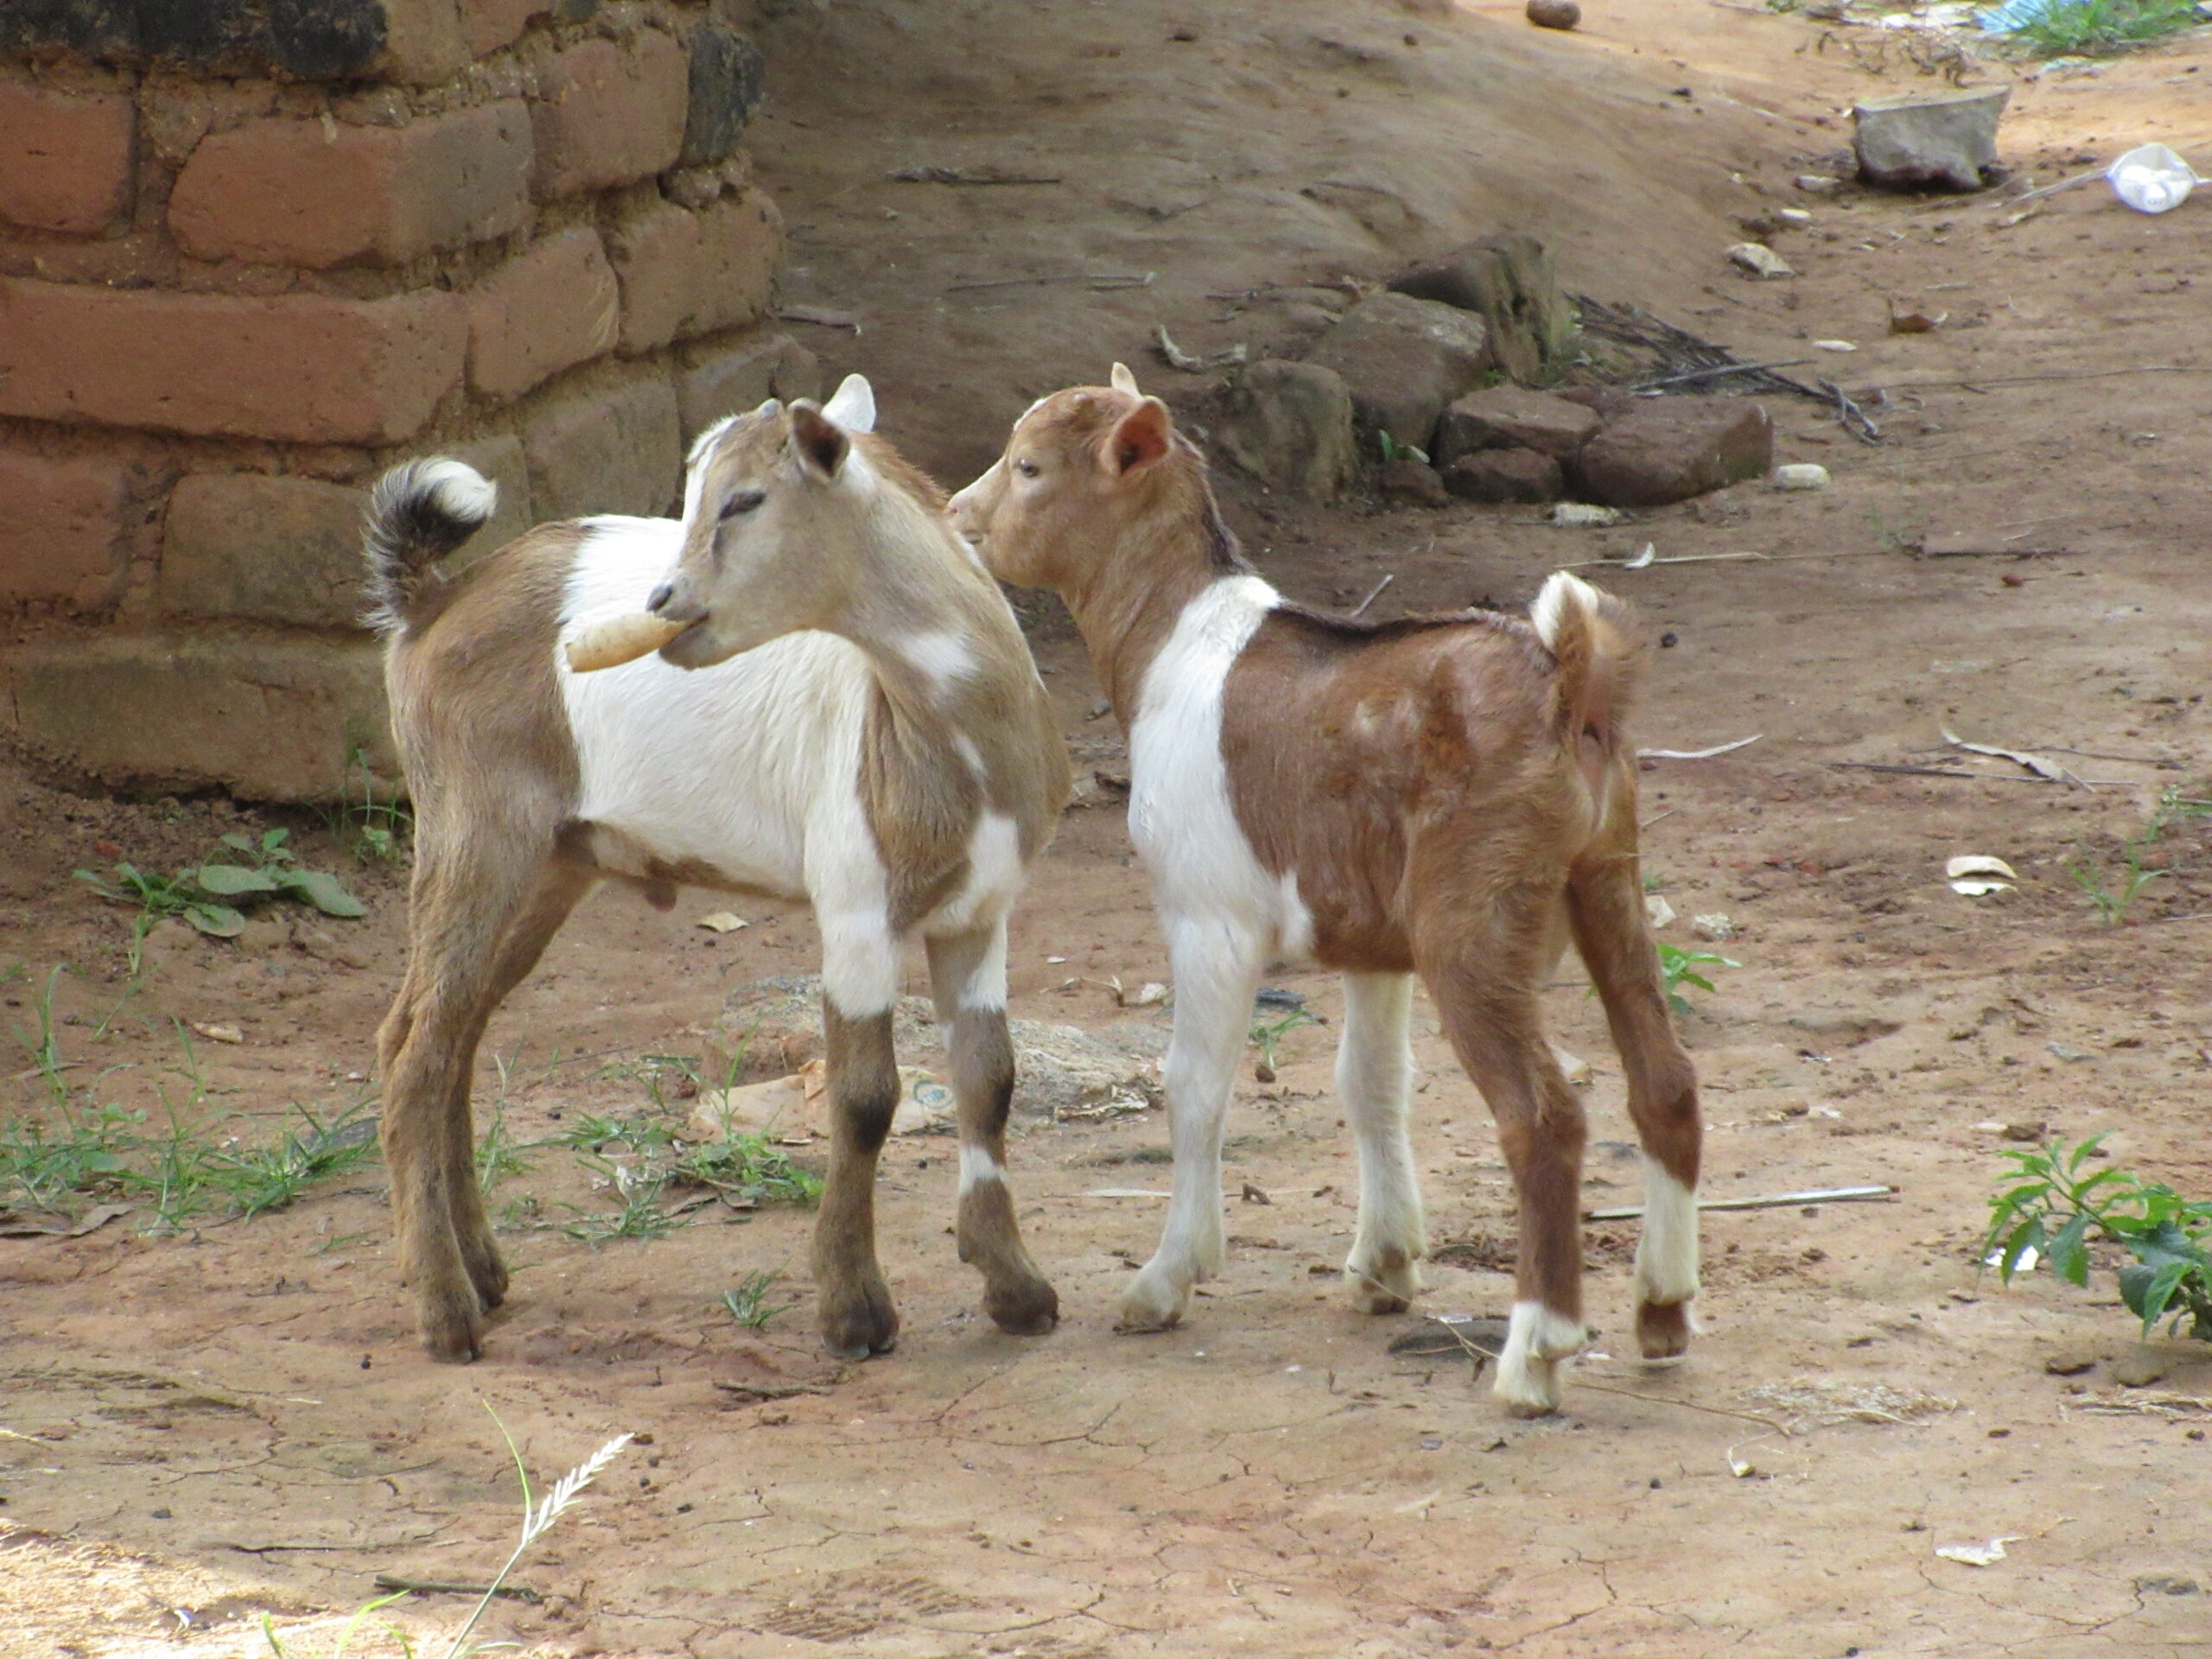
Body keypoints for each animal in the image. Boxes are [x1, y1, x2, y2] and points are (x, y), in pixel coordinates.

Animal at [362, 376, 1072, 1362]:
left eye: (742, 501)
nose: (665, 598)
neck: (948, 732)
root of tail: (434, 600)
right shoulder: (856, 902)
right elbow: (864, 1097)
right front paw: (854, 1310)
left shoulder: (980, 909)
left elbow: (990, 1079)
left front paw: (1017, 1288)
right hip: (473, 828)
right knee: (413, 1046)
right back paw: (445, 1310)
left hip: (551, 861)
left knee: (457, 1035)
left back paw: (485, 1270)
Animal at [948, 366, 1701, 1415]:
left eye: (1026, 468)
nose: (954, 514)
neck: (1173, 642)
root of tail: (1569, 682)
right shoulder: (1373, 939)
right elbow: (1371, 1082)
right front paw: (1383, 1267)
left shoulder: (1207, 915)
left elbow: (1193, 1082)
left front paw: (1166, 1280)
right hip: (1608, 879)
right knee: (1663, 1079)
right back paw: (1662, 1310)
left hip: (1470, 915)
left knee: (1542, 1115)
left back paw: (1534, 1356)